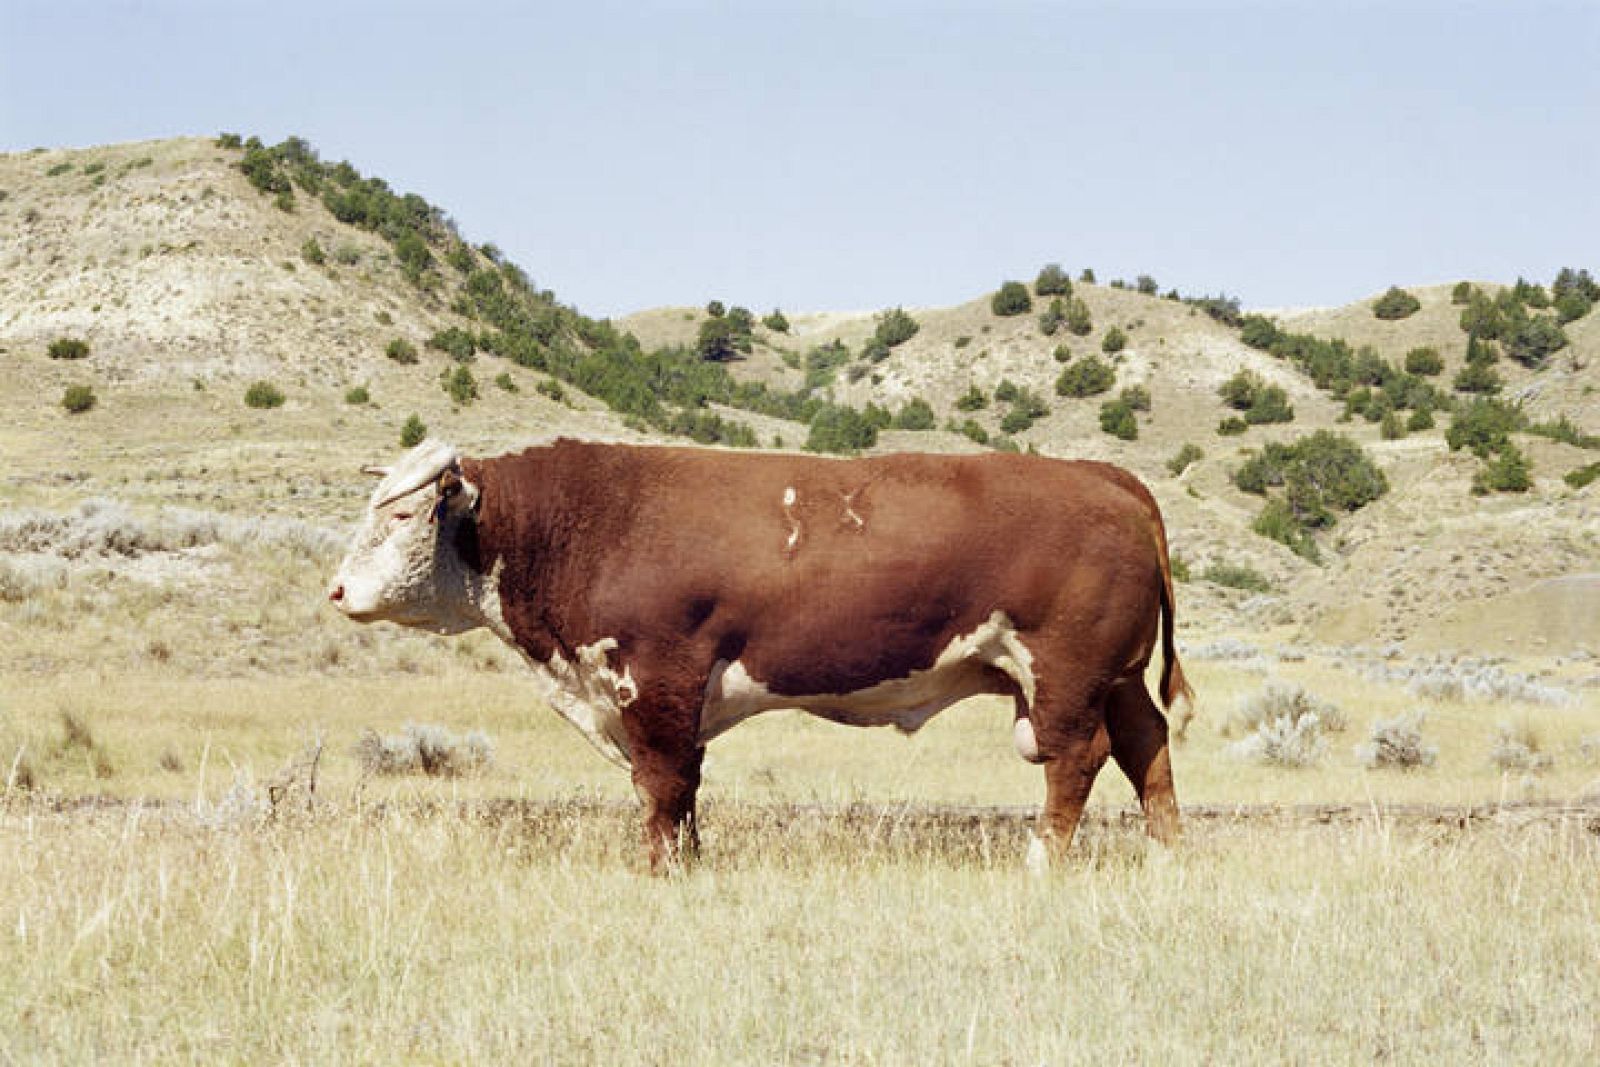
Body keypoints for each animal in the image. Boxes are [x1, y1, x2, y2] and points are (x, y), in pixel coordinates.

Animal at [328, 437, 1192, 871]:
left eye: (400, 513)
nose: (335, 589)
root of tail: (1102, 476)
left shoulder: (656, 675)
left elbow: (661, 783)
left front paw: (659, 870)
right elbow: (683, 787)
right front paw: (691, 862)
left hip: (1067, 671)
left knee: (1077, 757)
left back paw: (1042, 860)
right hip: (1116, 673)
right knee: (1146, 744)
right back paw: (1164, 853)